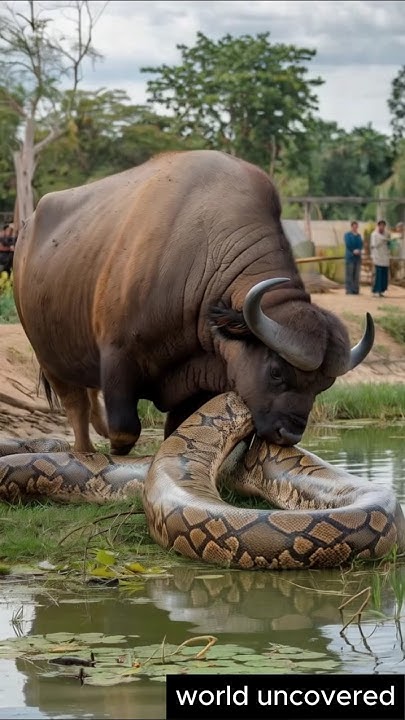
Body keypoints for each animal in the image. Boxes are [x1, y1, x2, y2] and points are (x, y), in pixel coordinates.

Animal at [13, 150, 374, 454]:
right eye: (276, 372)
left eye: (323, 386)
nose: (290, 434)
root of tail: (26, 231)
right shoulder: (117, 357)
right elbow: (124, 431)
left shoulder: (198, 379)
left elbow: (176, 429)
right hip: (49, 358)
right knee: (76, 405)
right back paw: (85, 451)